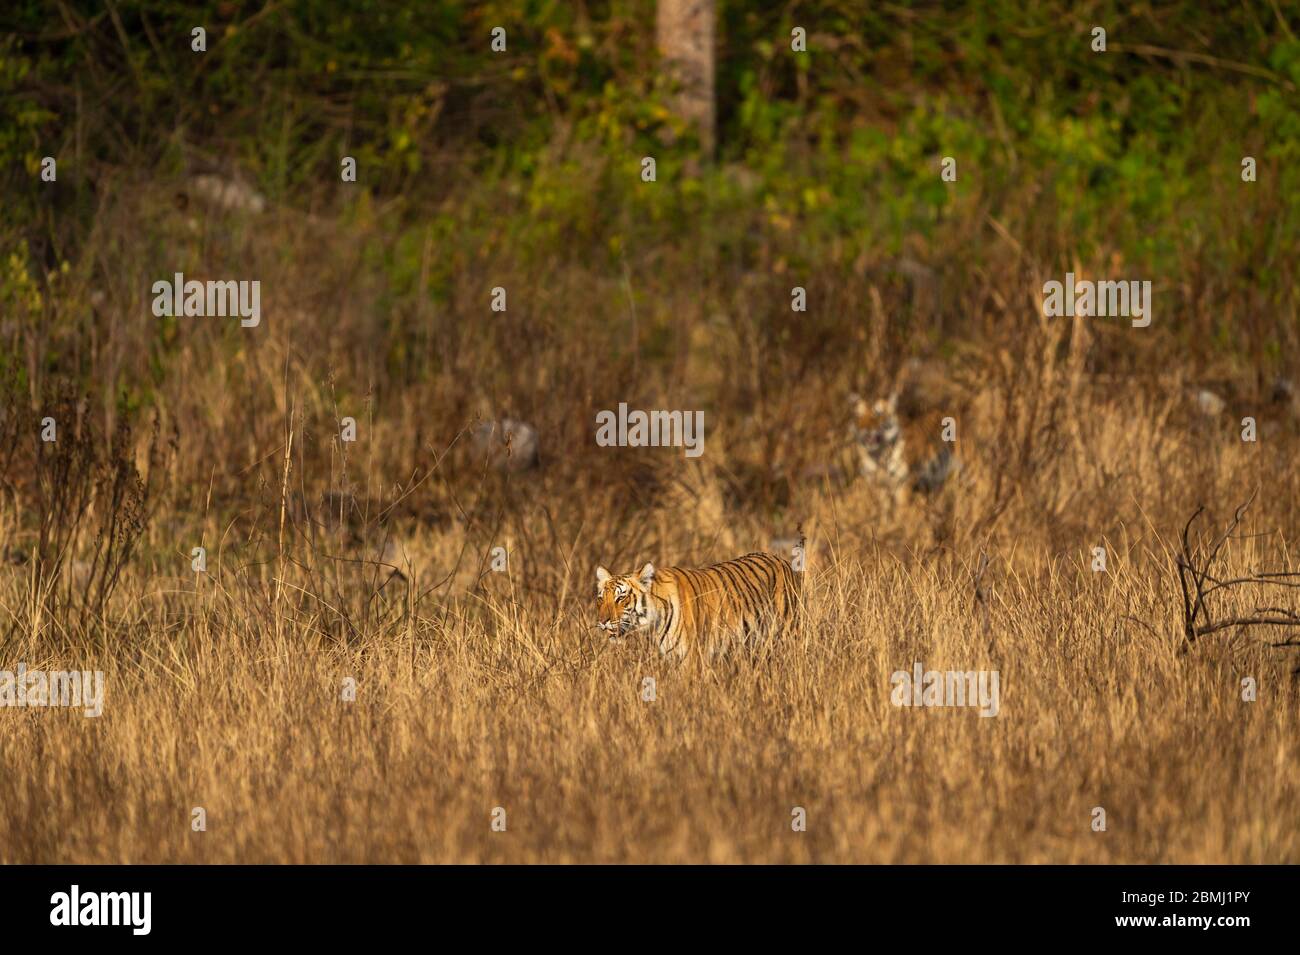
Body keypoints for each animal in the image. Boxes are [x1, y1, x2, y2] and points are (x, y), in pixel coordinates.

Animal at [594, 552, 800, 659]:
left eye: (621, 598)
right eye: (601, 599)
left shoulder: (691, 658)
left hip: (787, 633)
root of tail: (780, 558)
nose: (602, 621)